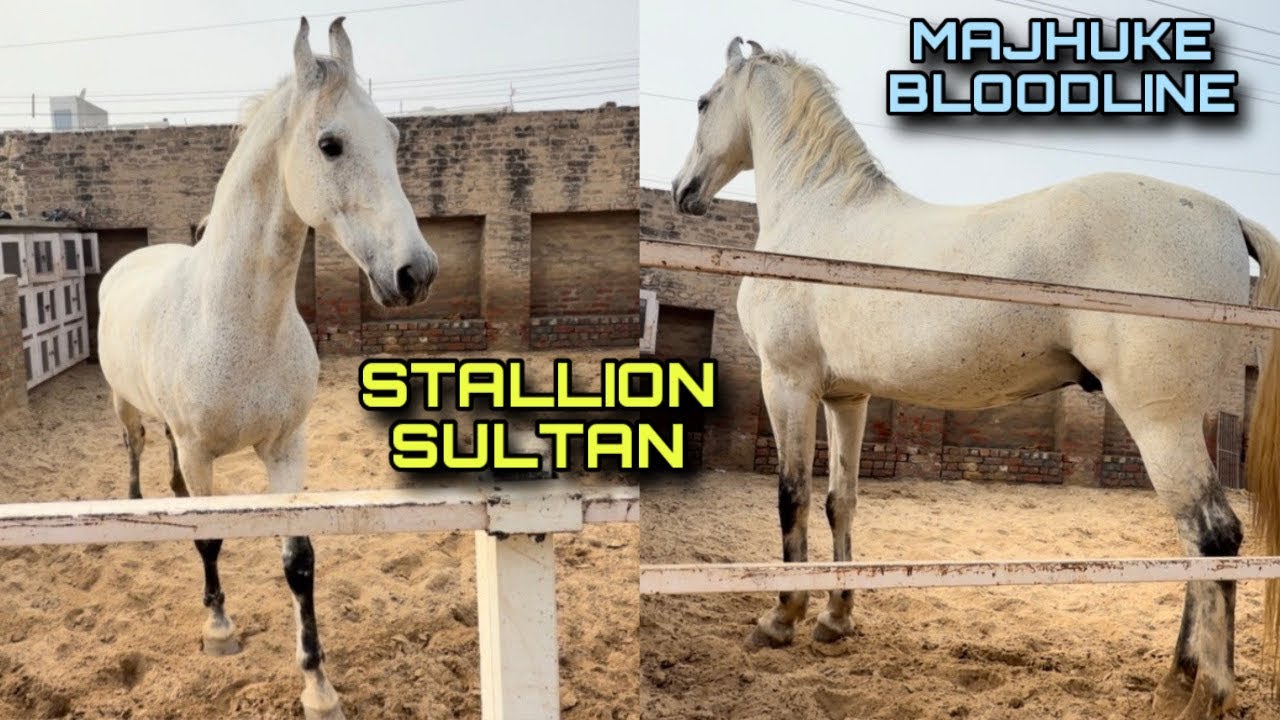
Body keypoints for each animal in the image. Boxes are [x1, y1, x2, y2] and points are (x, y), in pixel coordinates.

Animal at [97, 17, 438, 720]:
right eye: (330, 144)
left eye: (392, 138)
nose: (415, 273)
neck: (236, 320)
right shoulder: (201, 452)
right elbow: (210, 539)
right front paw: (218, 629)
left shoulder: (285, 449)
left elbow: (298, 559)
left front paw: (317, 685)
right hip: (126, 405)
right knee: (137, 448)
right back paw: (139, 505)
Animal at [670, 38, 1280, 720]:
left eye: (703, 102)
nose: (682, 192)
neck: (820, 215)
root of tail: (1226, 216)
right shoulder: (846, 397)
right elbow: (839, 500)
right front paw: (834, 620)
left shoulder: (787, 384)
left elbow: (791, 497)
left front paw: (781, 620)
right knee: (1189, 538)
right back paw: (1175, 678)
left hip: (1159, 420)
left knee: (1212, 535)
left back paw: (1206, 692)